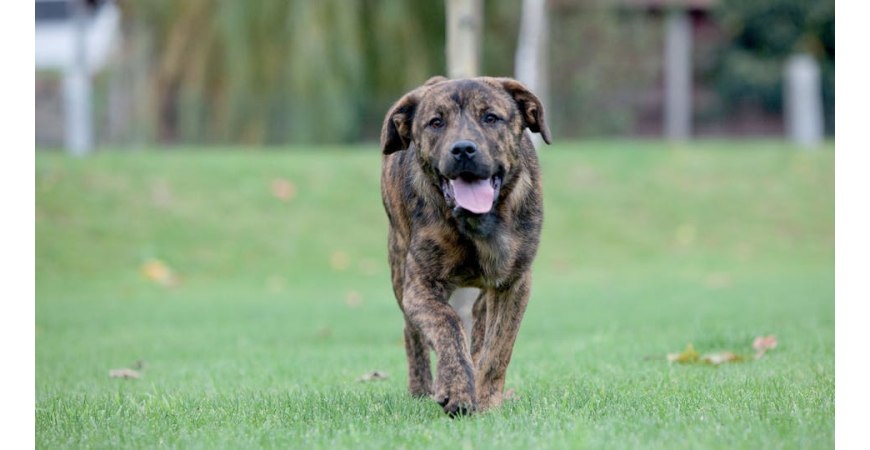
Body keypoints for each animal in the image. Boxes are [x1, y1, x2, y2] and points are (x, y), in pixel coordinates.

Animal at [382, 75, 552, 416]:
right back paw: (421, 387)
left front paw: (485, 399)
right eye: (436, 123)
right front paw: (456, 388)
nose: (462, 149)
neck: (477, 224)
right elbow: (447, 324)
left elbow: (497, 348)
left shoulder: (514, 283)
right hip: (397, 260)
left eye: (491, 118)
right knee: (413, 332)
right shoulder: (421, 284)